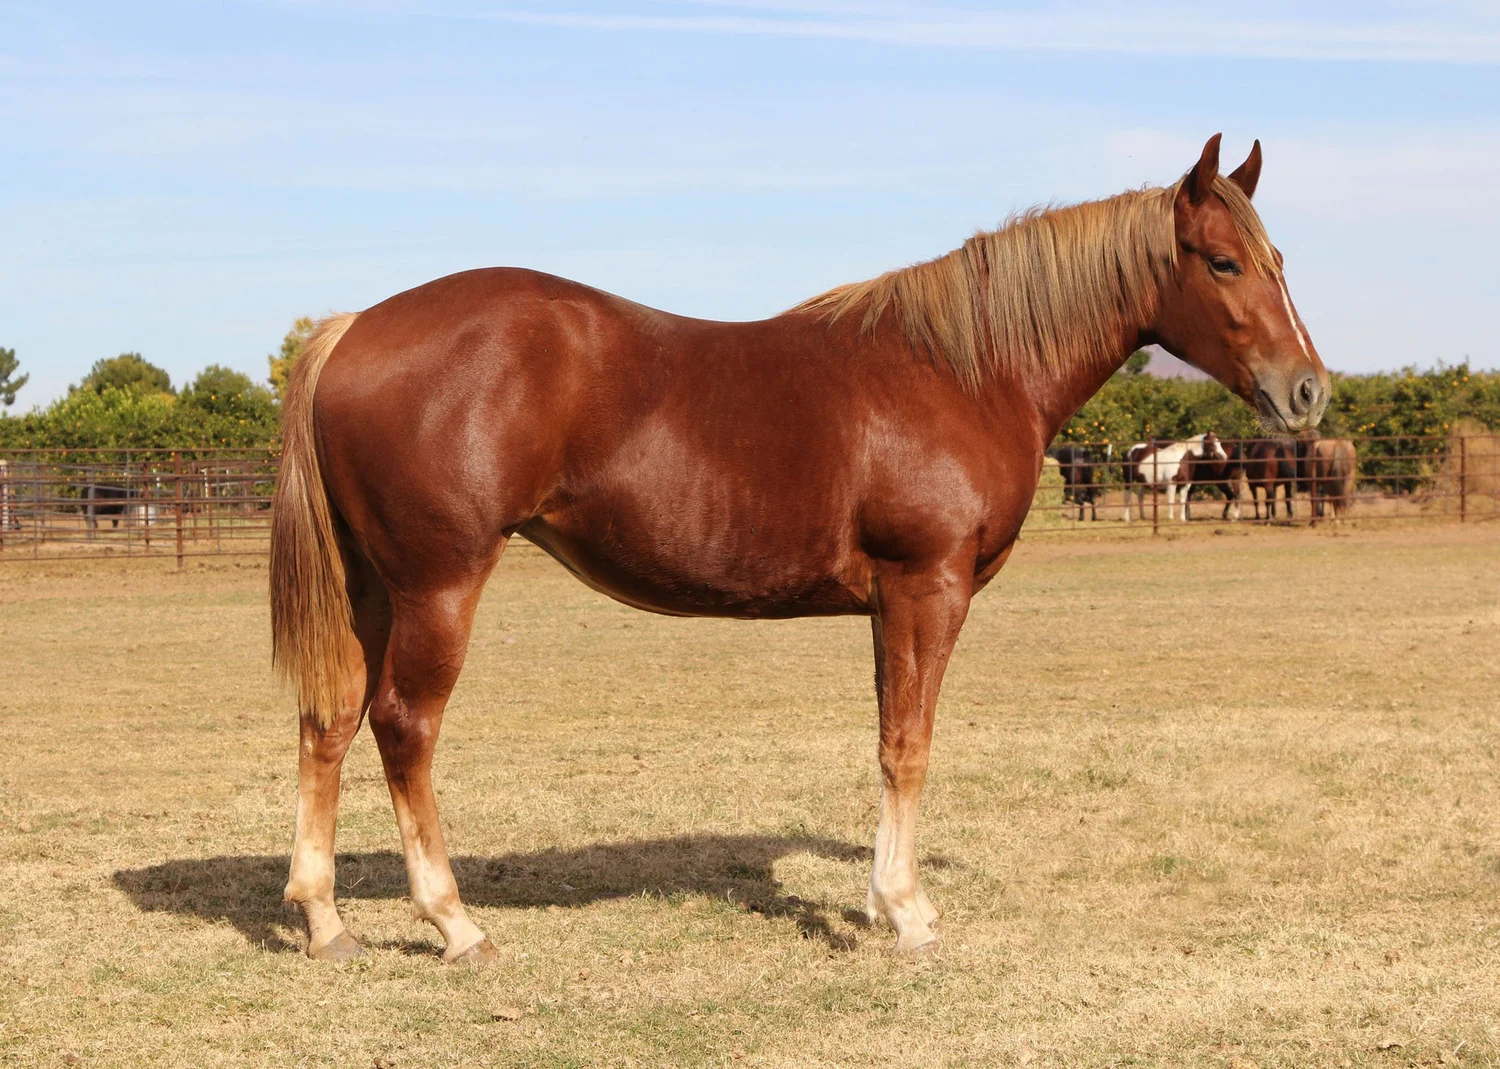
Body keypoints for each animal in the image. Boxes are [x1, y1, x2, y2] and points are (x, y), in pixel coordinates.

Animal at [270, 134, 1328, 963]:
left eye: (1279, 255)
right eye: (1222, 262)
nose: (1308, 390)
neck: (965, 368)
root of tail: (352, 330)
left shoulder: (891, 603)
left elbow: (891, 737)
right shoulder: (928, 587)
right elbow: (908, 745)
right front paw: (906, 913)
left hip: (372, 590)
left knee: (330, 719)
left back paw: (326, 922)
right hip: (440, 585)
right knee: (404, 725)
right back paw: (455, 923)